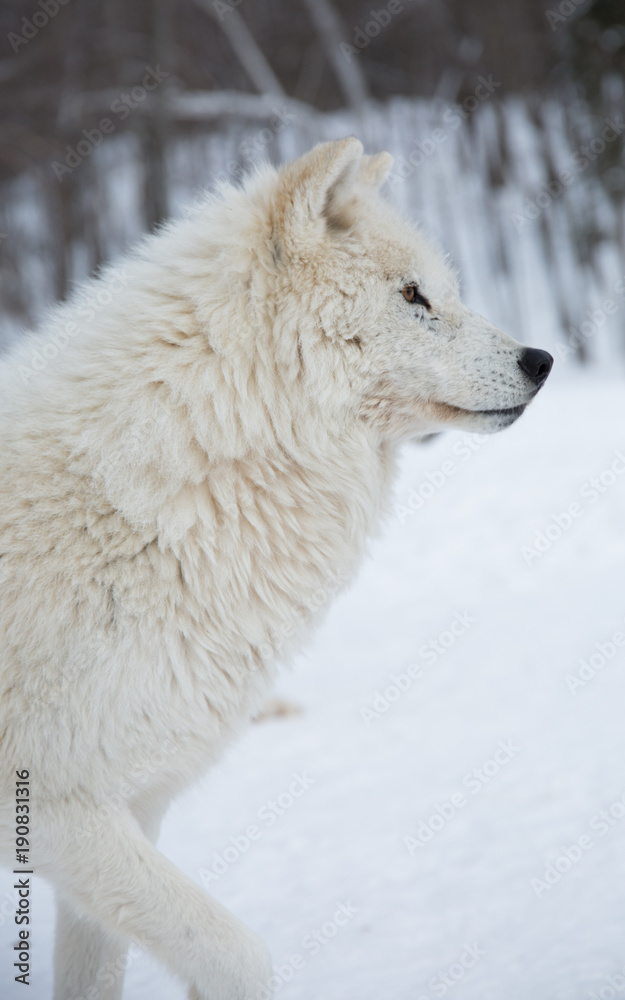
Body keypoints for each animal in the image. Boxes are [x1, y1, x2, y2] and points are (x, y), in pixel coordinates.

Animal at [0, 137, 552, 999]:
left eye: (445, 290)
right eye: (413, 295)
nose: (542, 359)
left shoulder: (132, 807)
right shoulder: (58, 805)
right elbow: (237, 953)